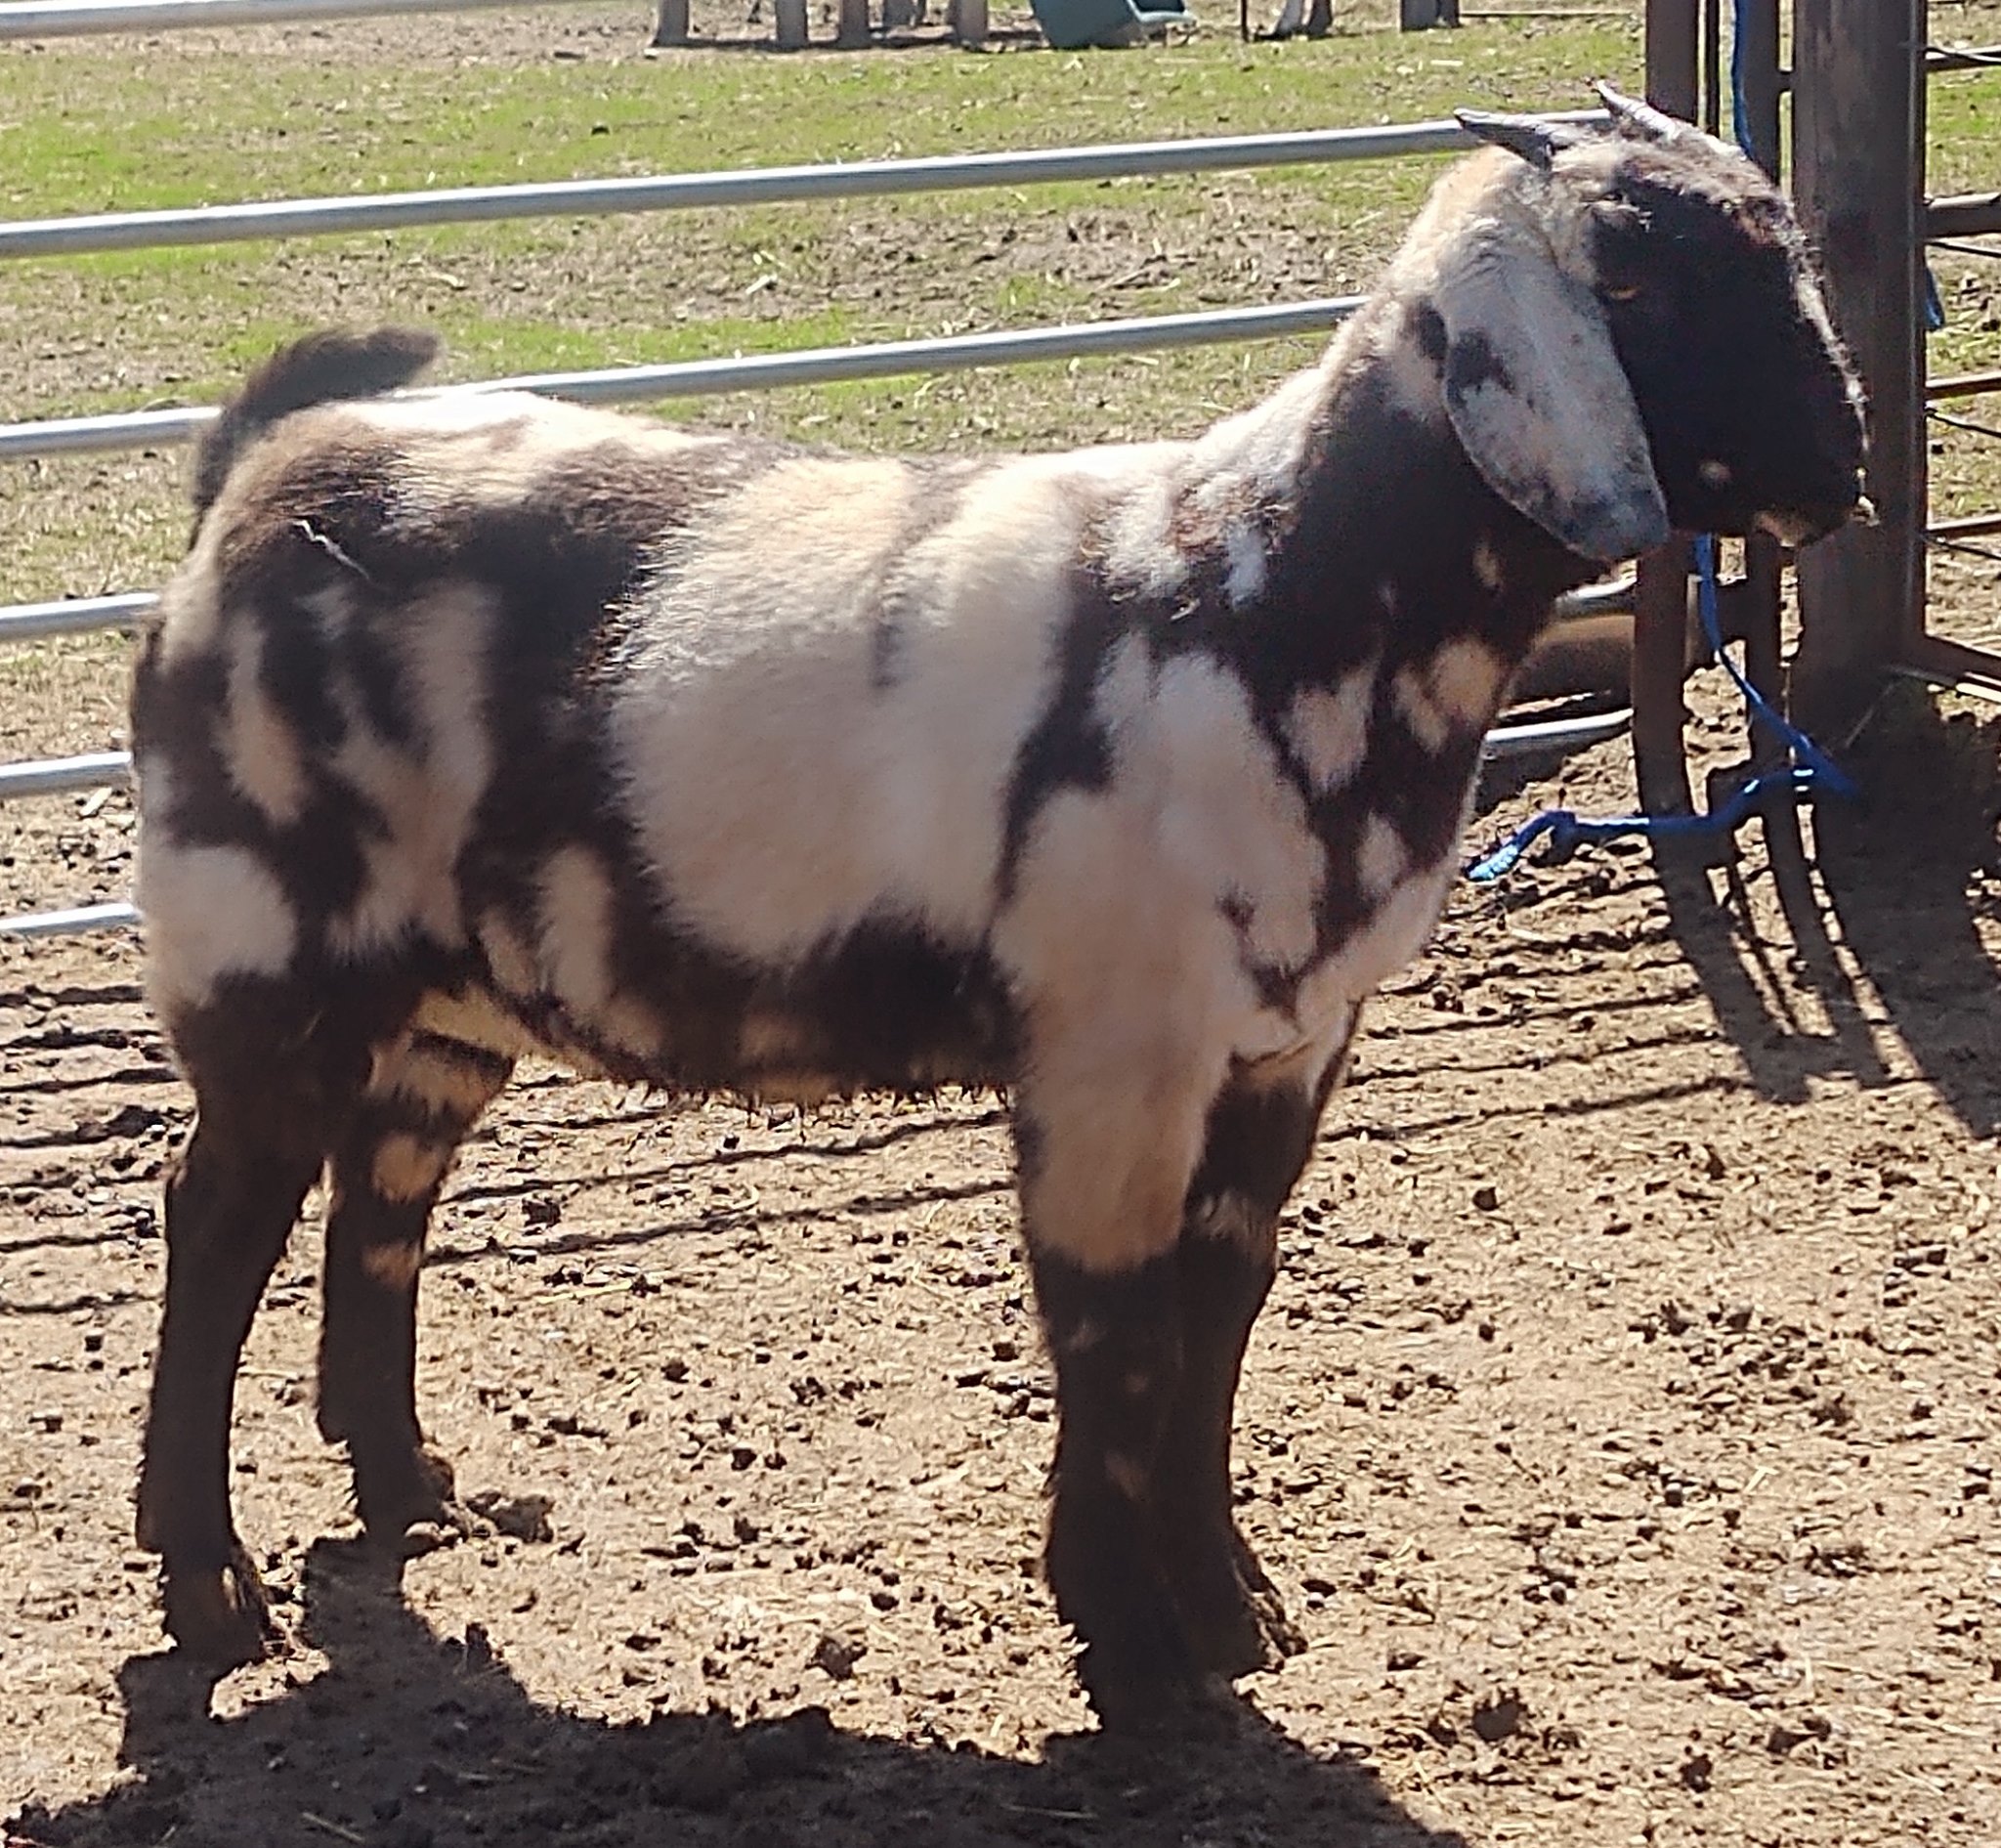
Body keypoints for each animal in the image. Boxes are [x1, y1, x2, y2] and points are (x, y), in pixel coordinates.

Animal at [130, 89, 1863, 1722]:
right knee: (215, 1227)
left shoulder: (1288, 1049)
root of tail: (257, 475)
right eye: (1639, 274)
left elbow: (1217, 1320)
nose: (1842, 465)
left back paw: (407, 1486)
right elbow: (1116, 1337)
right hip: (264, 952)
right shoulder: (1115, 1054)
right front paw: (1132, 1640)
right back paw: (209, 1586)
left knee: (380, 1200)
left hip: (446, 993)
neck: (1270, 599)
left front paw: (1231, 1604)